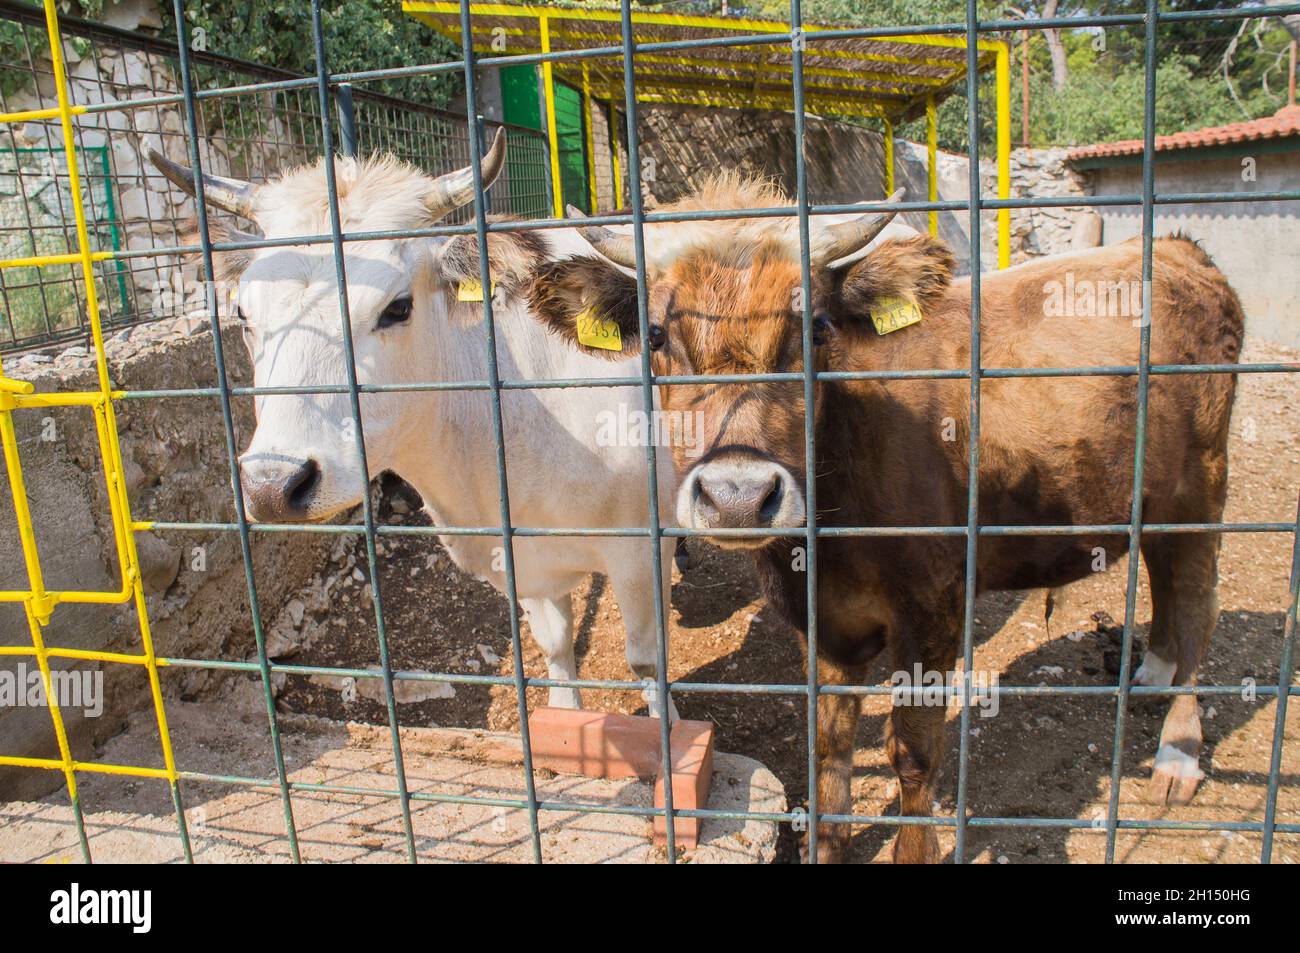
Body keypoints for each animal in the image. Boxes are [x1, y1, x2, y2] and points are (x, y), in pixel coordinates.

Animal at [148, 132, 679, 720]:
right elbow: (556, 643)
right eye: (242, 313)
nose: (272, 486)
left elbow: (647, 660)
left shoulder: (640, 552)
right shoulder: (522, 564)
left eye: (398, 307)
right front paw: (564, 716)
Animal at [525, 174, 1244, 862]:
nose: (737, 495)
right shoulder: (820, 620)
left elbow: (914, 753)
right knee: (1167, 582)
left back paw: (1178, 750)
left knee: (1197, 600)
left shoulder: (935, 610)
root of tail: (1177, 248)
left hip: (1203, 486)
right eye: (654, 335)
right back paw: (1152, 675)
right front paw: (828, 846)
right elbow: (830, 745)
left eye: (817, 327)